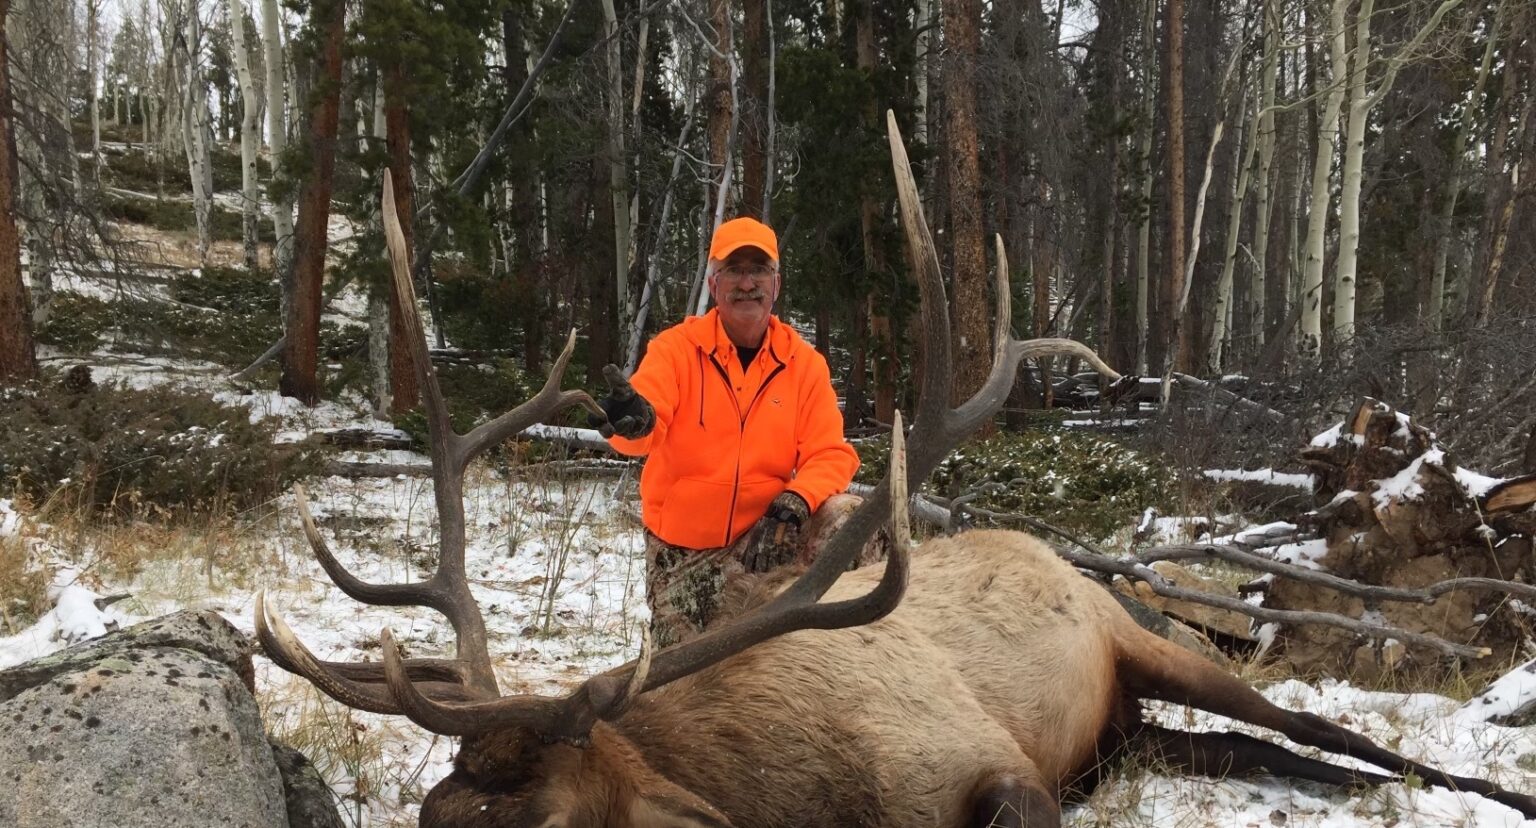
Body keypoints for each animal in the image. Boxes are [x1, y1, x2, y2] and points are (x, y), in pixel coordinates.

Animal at [255, 114, 1536, 828]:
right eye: (434, 813)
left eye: (549, 825)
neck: (778, 796)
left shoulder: (989, 770)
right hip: (1127, 728)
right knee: (1247, 752)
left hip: (1144, 643)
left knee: (1328, 731)